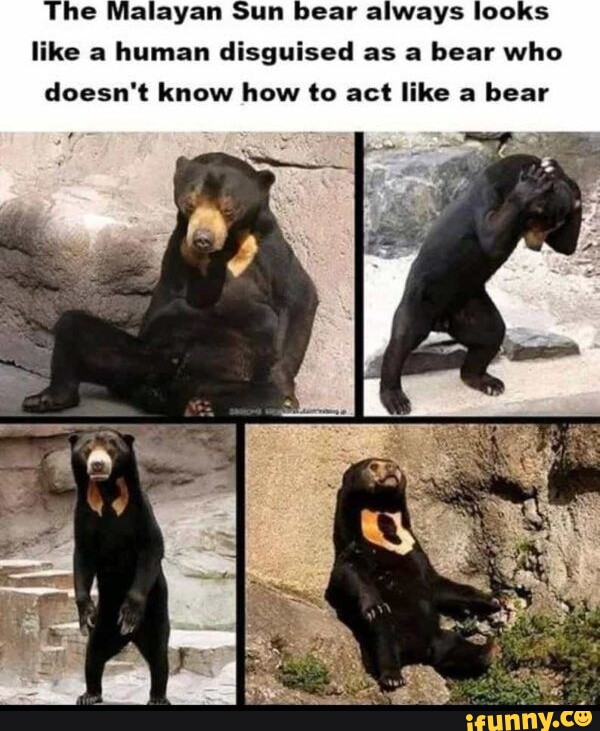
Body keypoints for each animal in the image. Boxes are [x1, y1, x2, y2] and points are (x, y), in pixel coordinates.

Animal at [23, 153, 318, 417]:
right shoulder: (178, 248)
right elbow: (164, 305)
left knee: (263, 395)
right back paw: (48, 398)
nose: (202, 239)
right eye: (190, 203)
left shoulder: (266, 248)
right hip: (137, 362)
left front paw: (287, 387)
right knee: (77, 327)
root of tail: (164, 395)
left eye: (228, 208)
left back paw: (202, 408)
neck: (224, 251)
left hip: (229, 378)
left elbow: (298, 294)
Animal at [70, 429, 170, 706]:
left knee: (159, 655)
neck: (106, 492)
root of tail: (130, 638)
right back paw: (89, 694)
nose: (97, 465)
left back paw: (158, 697)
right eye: (87, 448)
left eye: (112, 448)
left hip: (156, 609)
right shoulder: (83, 514)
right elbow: (82, 556)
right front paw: (84, 612)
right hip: (105, 621)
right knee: (93, 653)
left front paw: (130, 612)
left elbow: (151, 548)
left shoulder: (139, 509)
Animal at [325, 458, 501, 690]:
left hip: (438, 637)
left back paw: (490, 651)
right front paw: (375, 605)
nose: (393, 469)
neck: (381, 515)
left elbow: (439, 585)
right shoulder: (357, 547)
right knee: (384, 638)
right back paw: (393, 677)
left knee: (455, 645)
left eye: (395, 465)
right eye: (374, 466)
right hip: (391, 632)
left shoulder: (415, 553)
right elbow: (348, 573)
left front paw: (493, 600)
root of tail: (420, 653)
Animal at [379, 155, 582, 415]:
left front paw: (559, 172)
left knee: (491, 333)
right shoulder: (487, 195)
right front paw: (532, 183)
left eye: (552, 226)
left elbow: (565, 246)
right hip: (420, 301)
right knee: (401, 341)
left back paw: (486, 381)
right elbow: (490, 236)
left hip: (471, 304)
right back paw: (395, 399)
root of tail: (442, 322)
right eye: (538, 221)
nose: (536, 246)